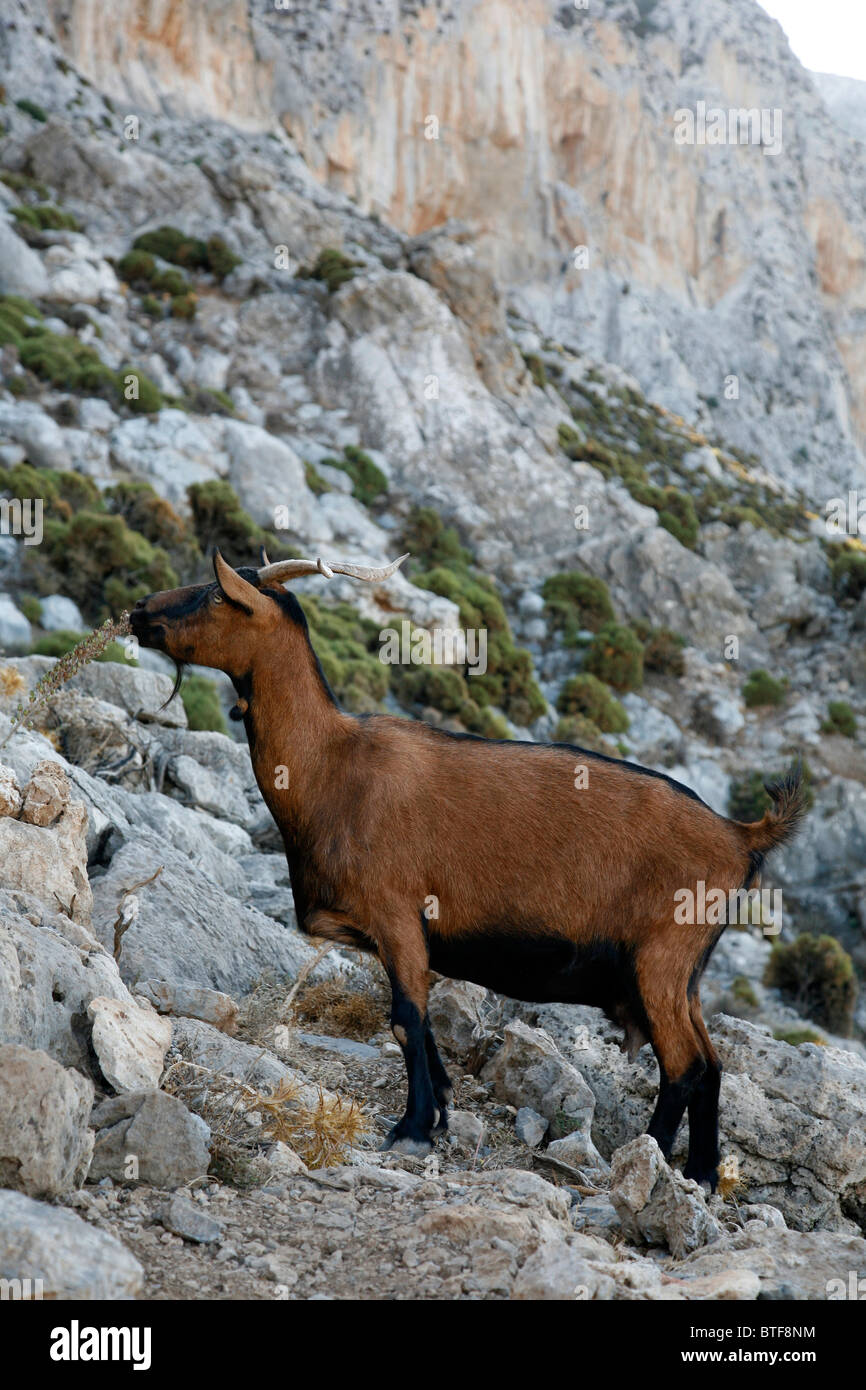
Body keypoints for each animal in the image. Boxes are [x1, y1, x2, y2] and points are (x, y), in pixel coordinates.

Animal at [130, 550, 806, 1183]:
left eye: (217, 594)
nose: (139, 612)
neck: (333, 765)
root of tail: (742, 836)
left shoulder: (397, 913)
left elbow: (405, 1020)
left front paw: (410, 1130)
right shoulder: (403, 936)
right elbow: (422, 1024)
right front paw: (441, 1113)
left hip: (659, 962)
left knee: (684, 1065)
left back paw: (650, 1156)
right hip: (684, 975)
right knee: (712, 1064)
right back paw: (701, 1172)